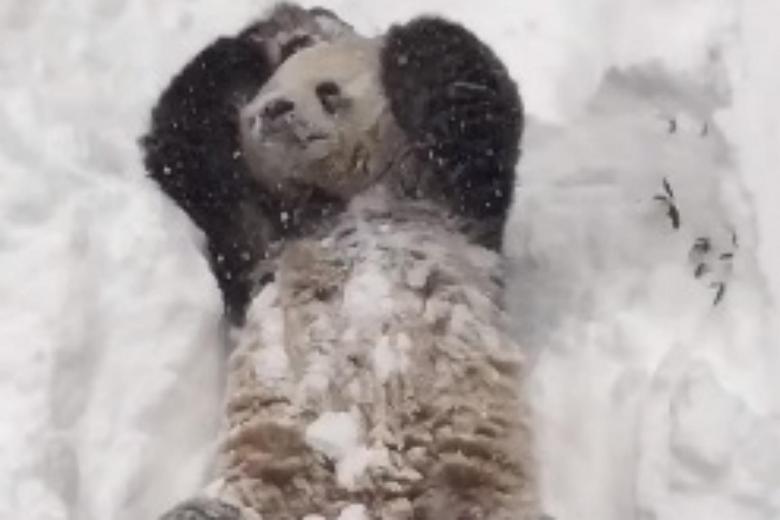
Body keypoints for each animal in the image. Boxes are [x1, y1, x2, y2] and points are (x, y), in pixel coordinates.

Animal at [143, 4, 537, 520]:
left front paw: (404, 38)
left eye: (328, 92)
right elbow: (186, 153)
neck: (347, 199)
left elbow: (475, 106)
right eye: (270, 90)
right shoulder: (256, 239)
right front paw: (255, 40)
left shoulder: (452, 204)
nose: (274, 111)